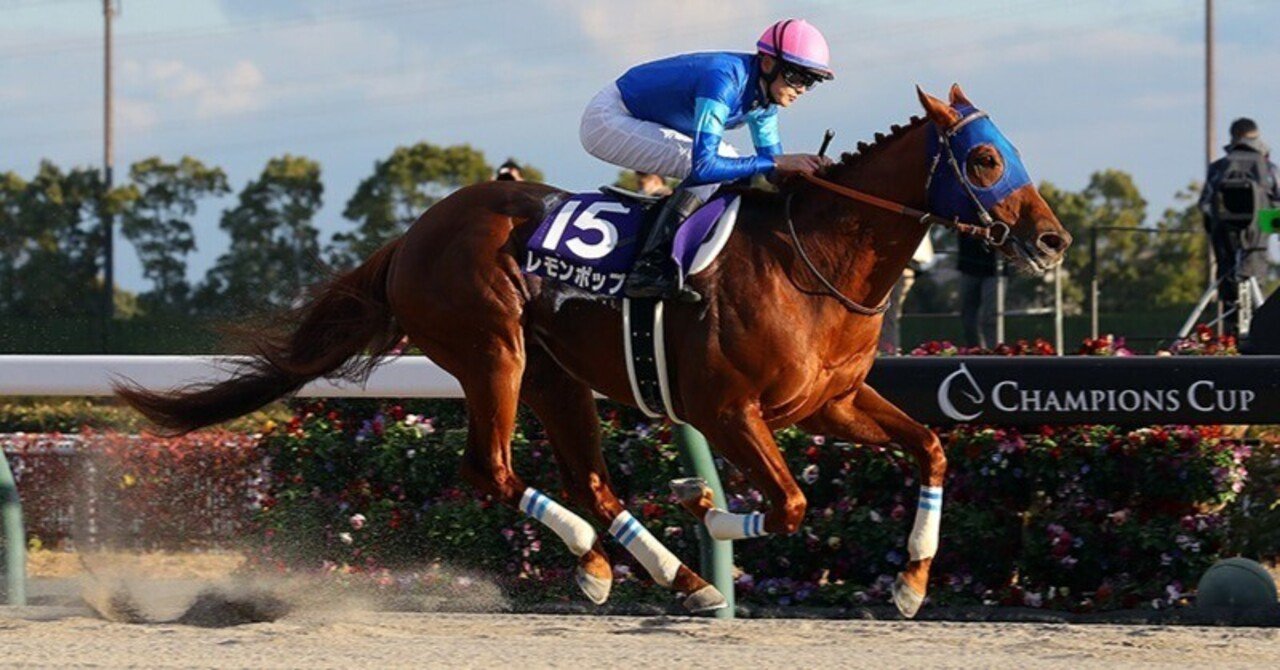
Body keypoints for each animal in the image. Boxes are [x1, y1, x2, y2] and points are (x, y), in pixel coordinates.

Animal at [116, 84, 1071, 618]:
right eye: (986, 159)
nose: (1052, 240)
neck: (814, 258)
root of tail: (412, 236)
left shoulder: (828, 401)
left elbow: (931, 446)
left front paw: (910, 583)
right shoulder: (728, 409)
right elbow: (793, 504)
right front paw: (710, 513)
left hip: (555, 376)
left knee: (590, 480)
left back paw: (659, 575)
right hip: (491, 351)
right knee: (494, 470)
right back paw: (618, 561)